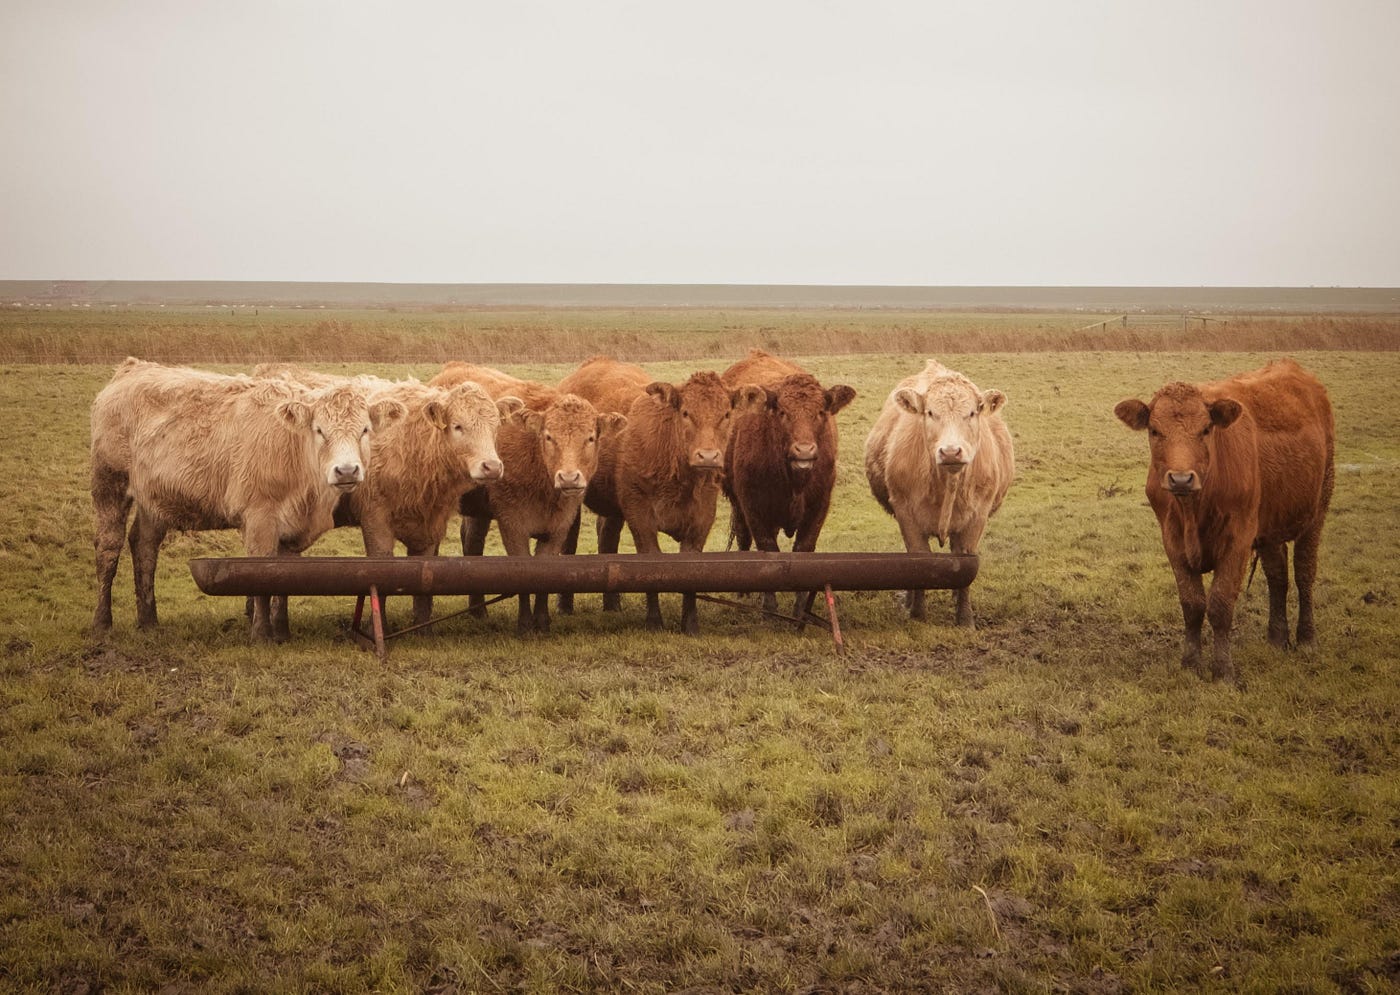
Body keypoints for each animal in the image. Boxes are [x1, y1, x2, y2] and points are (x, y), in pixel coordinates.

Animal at [90, 358, 404, 641]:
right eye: (319, 430)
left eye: (365, 429)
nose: (347, 470)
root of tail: (133, 367)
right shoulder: (259, 518)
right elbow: (262, 573)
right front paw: (262, 634)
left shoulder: (292, 527)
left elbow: (285, 577)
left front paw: (282, 631)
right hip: (109, 483)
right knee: (108, 548)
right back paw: (102, 622)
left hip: (154, 500)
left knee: (144, 547)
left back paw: (148, 621)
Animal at [257, 364, 518, 628]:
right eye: (458, 426)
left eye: (495, 426)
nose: (492, 467)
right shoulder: (375, 519)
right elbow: (382, 572)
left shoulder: (430, 525)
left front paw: (421, 626)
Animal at [720, 349, 856, 615]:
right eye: (783, 412)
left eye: (820, 412)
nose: (804, 451)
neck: (794, 482)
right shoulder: (753, 506)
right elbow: (767, 548)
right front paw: (770, 607)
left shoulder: (819, 506)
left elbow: (803, 550)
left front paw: (800, 607)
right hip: (739, 504)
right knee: (743, 537)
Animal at [864, 359, 1014, 627]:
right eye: (931, 413)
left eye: (972, 413)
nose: (951, 451)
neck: (947, 484)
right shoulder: (906, 514)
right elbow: (919, 559)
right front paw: (917, 613)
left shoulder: (977, 516)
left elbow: (965, 562)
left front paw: (965, 618)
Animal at [1114, 358, 1334, 682]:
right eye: (1154, 430)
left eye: (1206, 429)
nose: (1181, 479)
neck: (1193, 508)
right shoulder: (1172, 540)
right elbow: (1192, 604)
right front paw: (1191, 662)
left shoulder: (1237, 540)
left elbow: (1220, 604)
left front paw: (1223, 671)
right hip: (1269, 527)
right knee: (1277, 575)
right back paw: (1277, 638)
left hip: (1316, 510)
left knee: (1304, 572)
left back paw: (1306, 639)